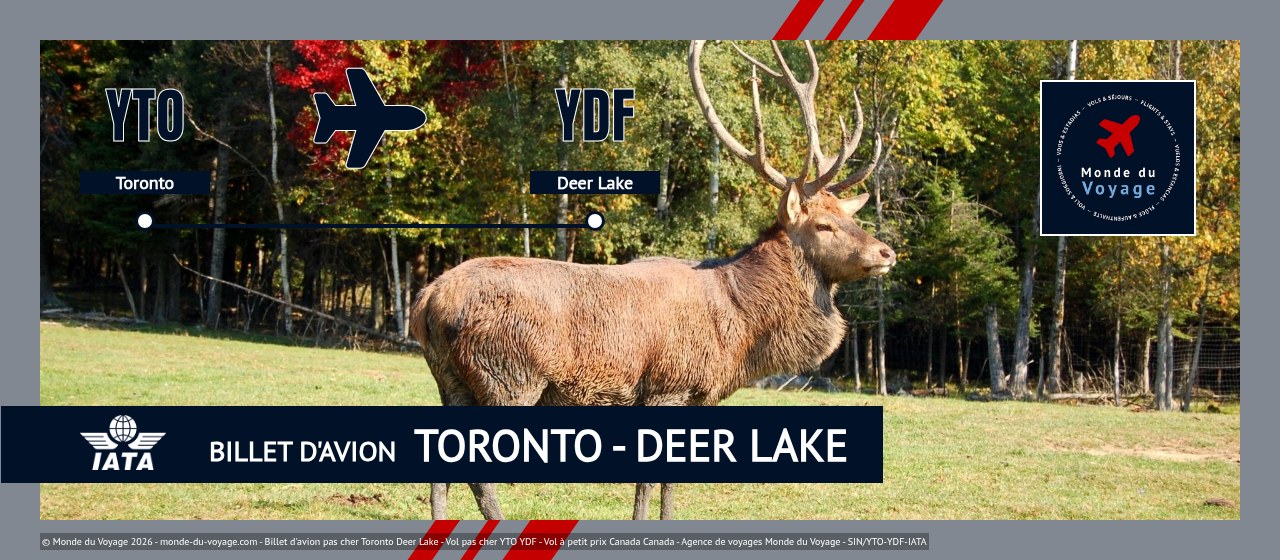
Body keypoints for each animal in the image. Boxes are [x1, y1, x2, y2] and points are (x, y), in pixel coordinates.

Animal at [409, 39, 894, 521]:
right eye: (823, 226)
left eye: (849, 217)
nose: (886, 252)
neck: (739, 328)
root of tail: (427, 301)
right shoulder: (667, 385)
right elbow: (648, 482)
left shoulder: (693, 397)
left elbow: (670, 481)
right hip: (509, 376)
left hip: (451, 381)